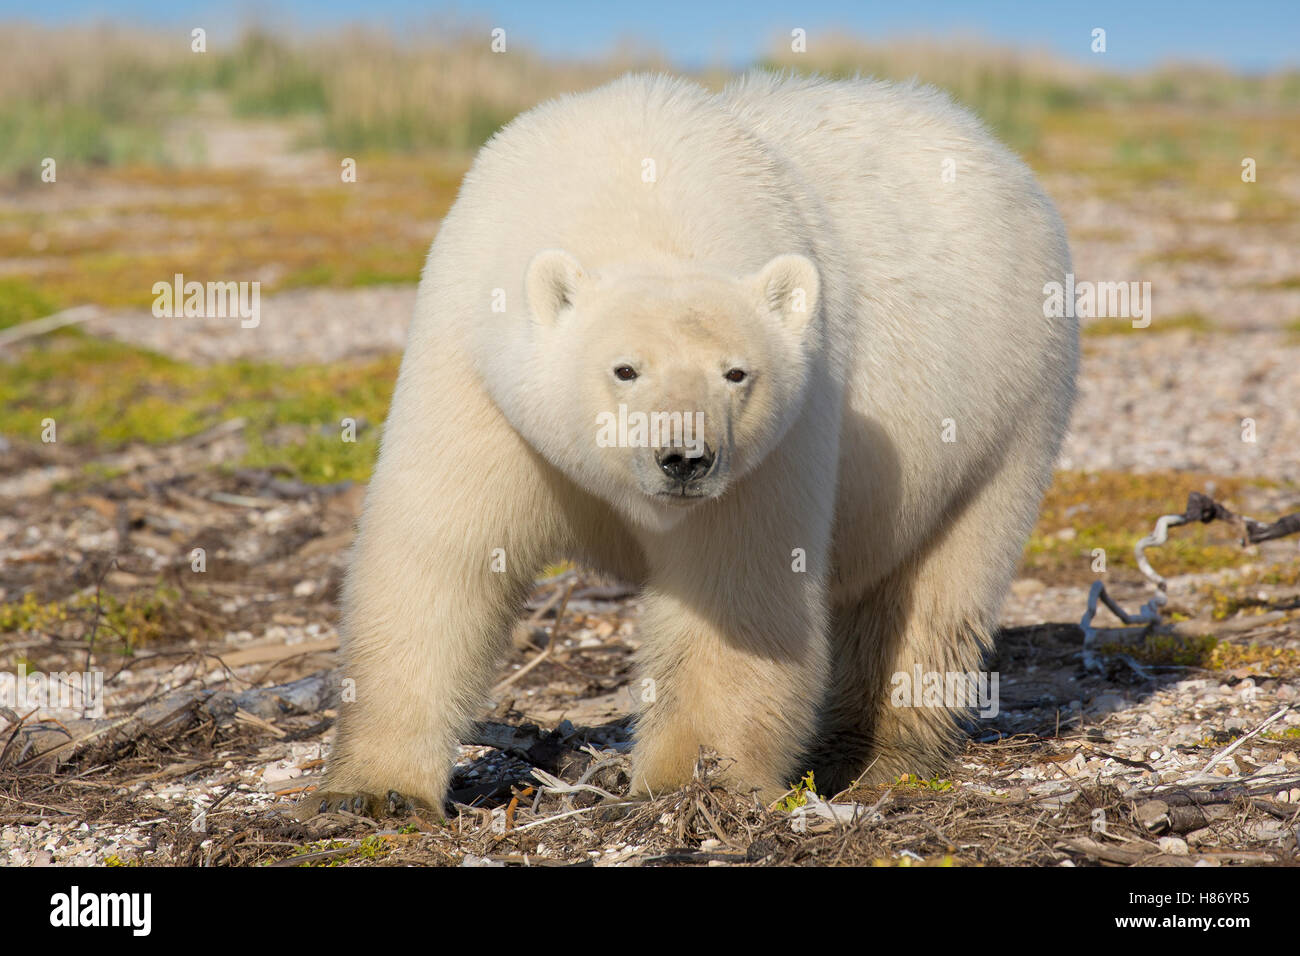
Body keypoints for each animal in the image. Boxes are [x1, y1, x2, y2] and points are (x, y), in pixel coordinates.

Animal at [310, 72, 1078, 817]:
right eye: (625, 368)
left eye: (736, 373)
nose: (684, 458)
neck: (643, 191)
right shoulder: (478, 368)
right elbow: (440, 560)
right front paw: (374, 789)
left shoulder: (780, 435)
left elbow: (734, 589)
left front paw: (686, 785)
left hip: (1009, 405)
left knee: (937, 592)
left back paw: (877, 756)